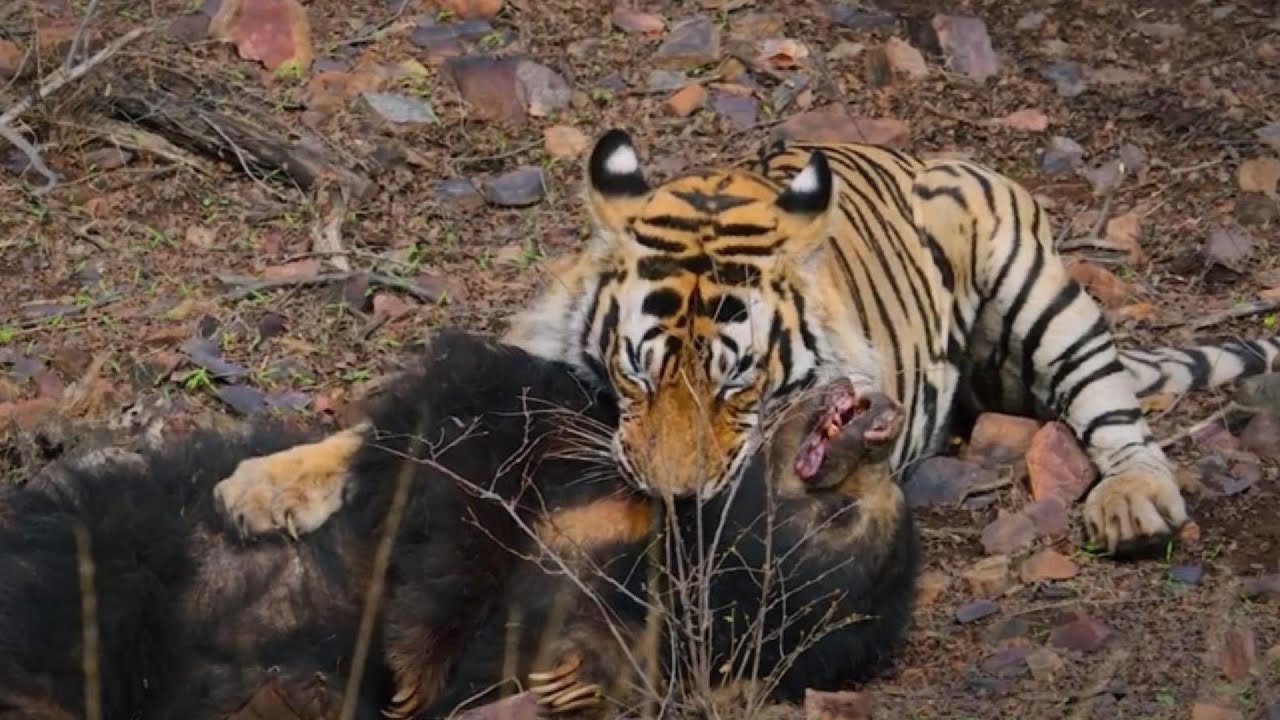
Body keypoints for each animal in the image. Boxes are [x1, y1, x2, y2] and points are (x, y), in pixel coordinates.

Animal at [214, 127, 1280, 559]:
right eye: (635, 374)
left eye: (738, 388)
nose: (676, 501)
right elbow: (385, 427)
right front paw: (266, 483)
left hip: (1036, 282)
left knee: (1111, 404)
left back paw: (1136, 501)